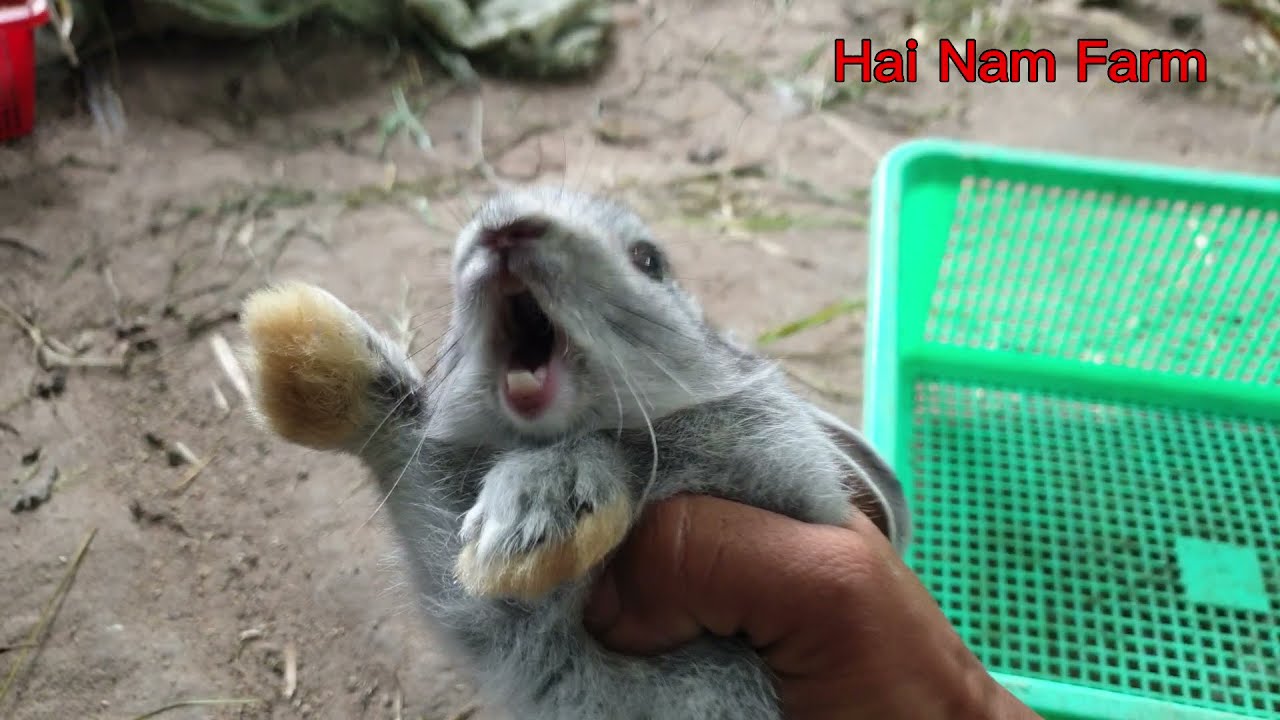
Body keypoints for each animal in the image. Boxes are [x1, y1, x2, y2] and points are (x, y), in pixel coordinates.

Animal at [239, 186, 911, 720]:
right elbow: (409, 443)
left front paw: (536, 518)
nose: (506, 226)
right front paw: (301, 344)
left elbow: (643, 444)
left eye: (649, 260)